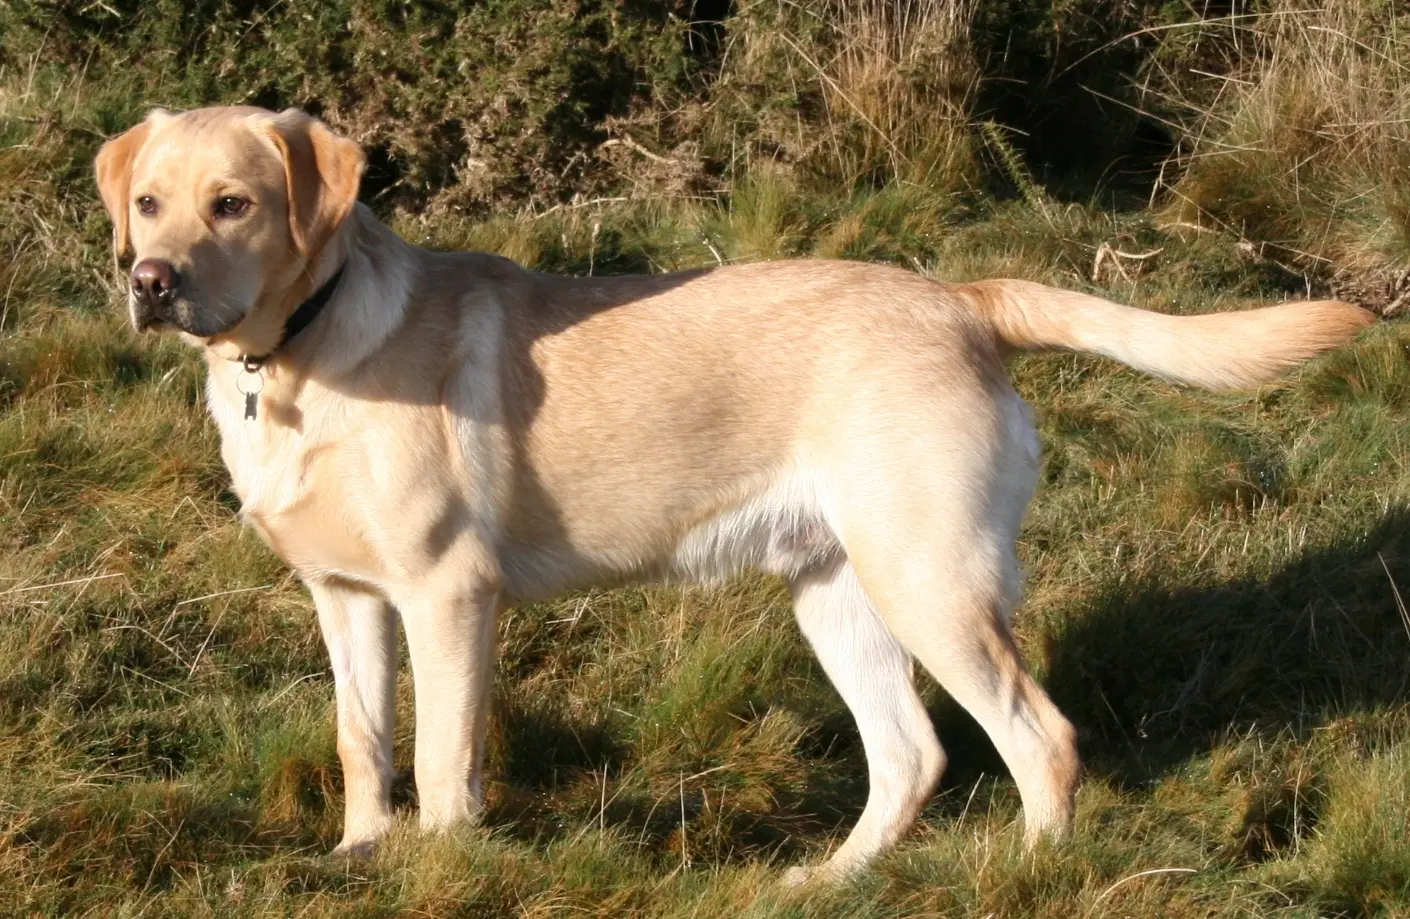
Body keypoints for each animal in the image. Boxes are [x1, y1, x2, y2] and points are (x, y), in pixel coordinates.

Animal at [93, 105, 1370, 885]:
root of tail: (959, 297)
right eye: (149, 203)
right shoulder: (347, 597)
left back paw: (1027, 875)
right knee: (912, 753)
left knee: (1039, 740)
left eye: (234, 204)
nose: (148, 281)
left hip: (931, 582)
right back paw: (833, 879)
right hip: (838, 594)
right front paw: (363, 855)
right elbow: (363, 741)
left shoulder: (451, 596)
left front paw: (441, 870)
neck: (293, 358)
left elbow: (449, 762)